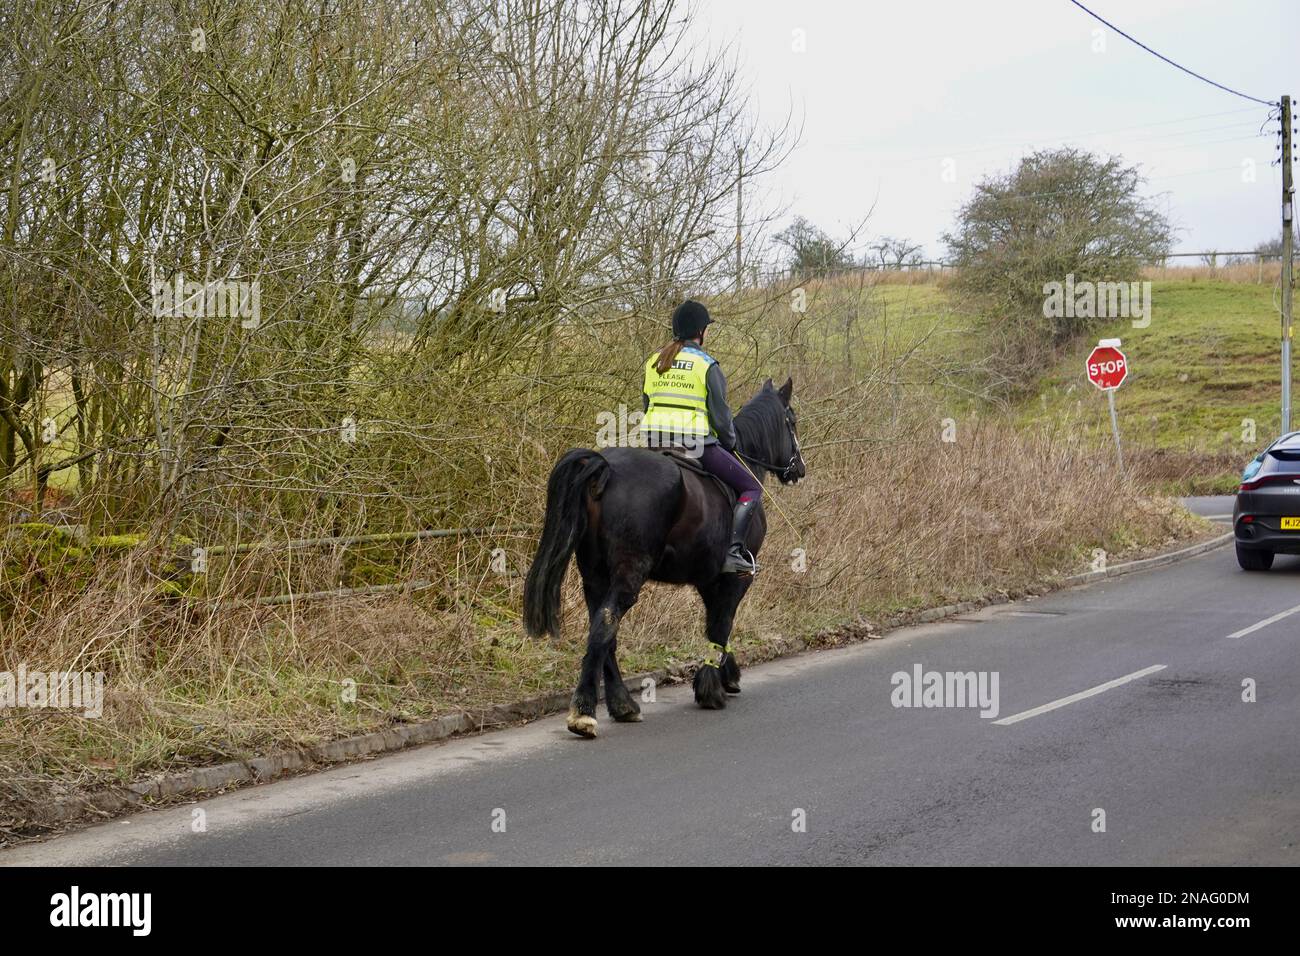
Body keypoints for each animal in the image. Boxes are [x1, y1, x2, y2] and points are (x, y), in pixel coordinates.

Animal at [523, 377, 805, 738]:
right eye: (791, 421)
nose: (798, 469)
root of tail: (605, 468)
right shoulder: (736, 577)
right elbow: (722, 624)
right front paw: (711, 688)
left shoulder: (707, 579)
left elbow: (716, 625)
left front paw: (726, 675)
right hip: (629, 573)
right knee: (605, 625)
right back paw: (584, 714)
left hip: (594, 575)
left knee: (603, 632)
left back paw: (622, 705)